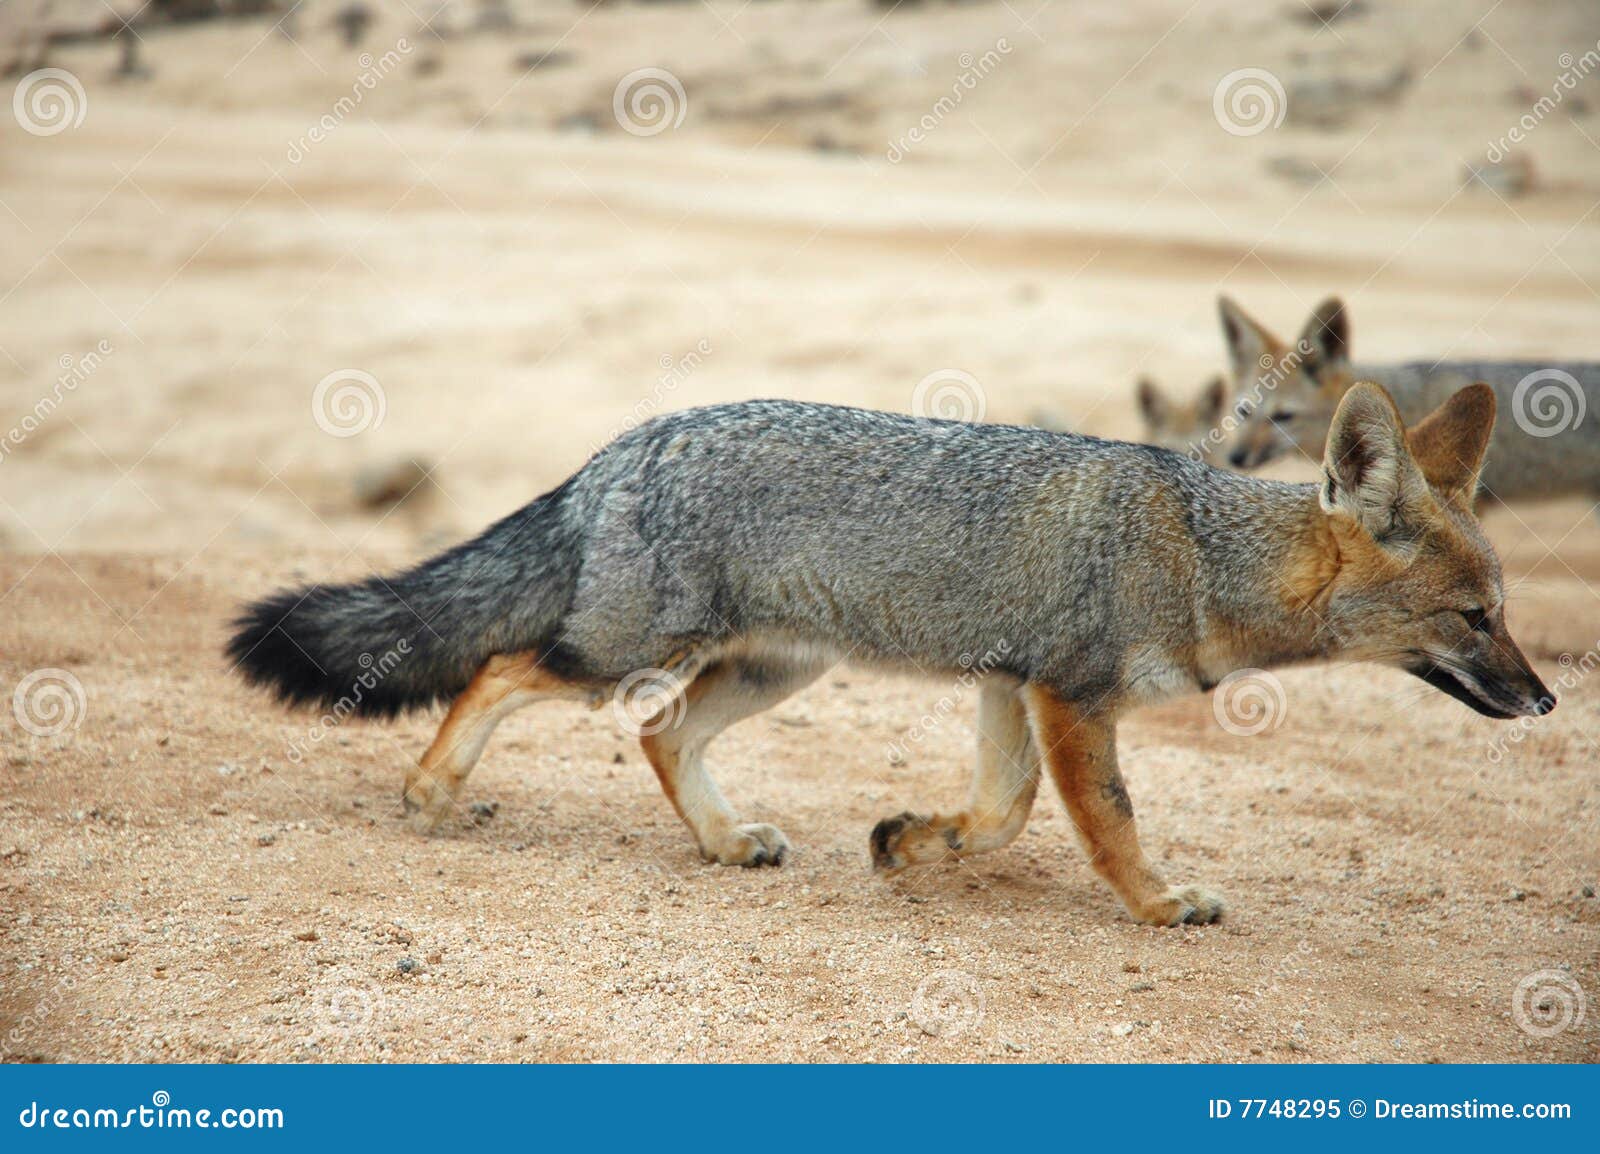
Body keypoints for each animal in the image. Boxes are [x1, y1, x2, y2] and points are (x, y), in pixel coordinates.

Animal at [228, 382, 1553, 927]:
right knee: (503, 666)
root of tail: (630, 439)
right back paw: (431, 789)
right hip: (629, 645)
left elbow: (1004, 811)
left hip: (773, 669)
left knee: (660, 727)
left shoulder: (1011, 686)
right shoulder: (1071, 692)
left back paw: (721, 837)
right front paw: (1157, 901)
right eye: (1473, 618)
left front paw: (911, 842)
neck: (1198, 548)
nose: (1545, 699)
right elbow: (1108, 818)